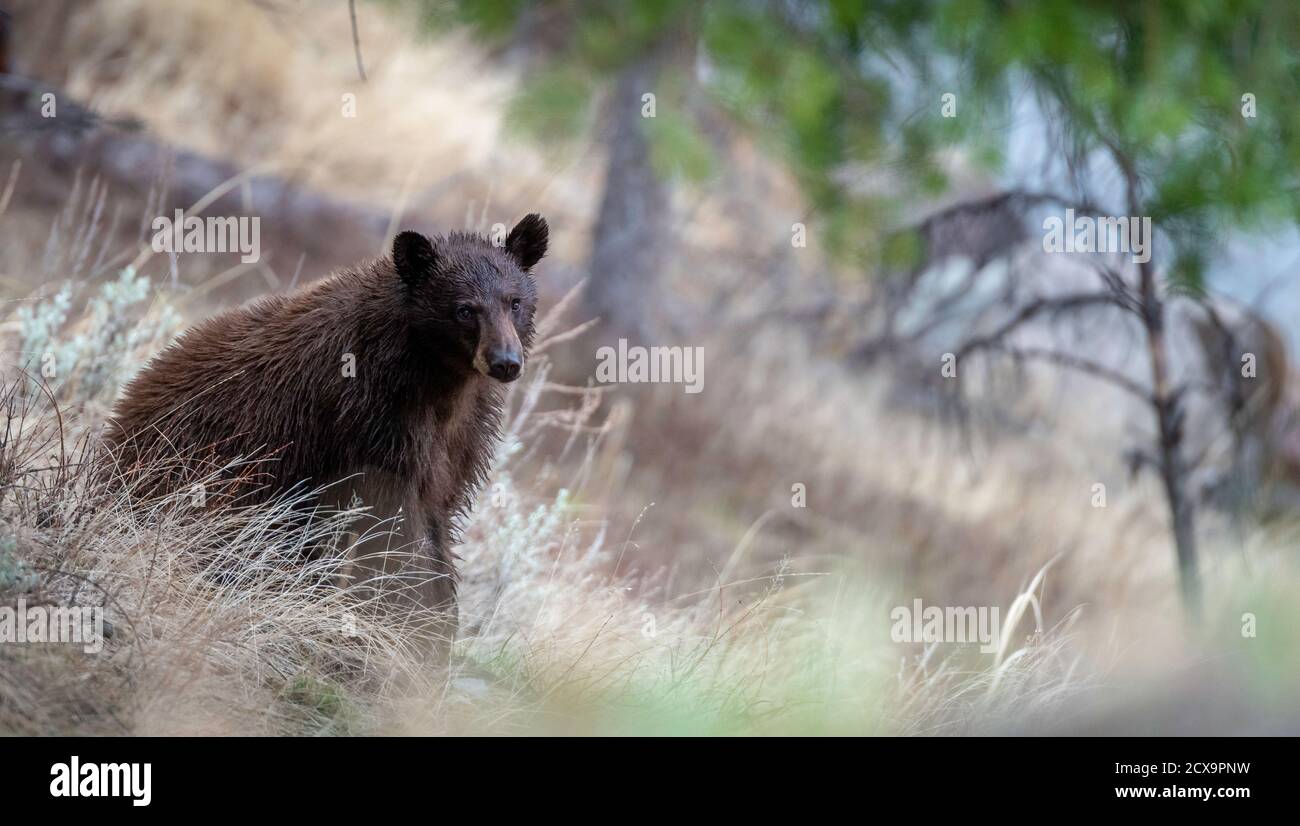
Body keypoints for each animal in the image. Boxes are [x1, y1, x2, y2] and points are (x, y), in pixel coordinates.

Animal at [101, 214, 550, 655]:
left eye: (514, 301)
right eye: (465, 309)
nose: (505, 361)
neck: (436, 378)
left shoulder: (461, 438)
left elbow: (437, 515)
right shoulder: (372, 420)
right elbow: (390, 523)